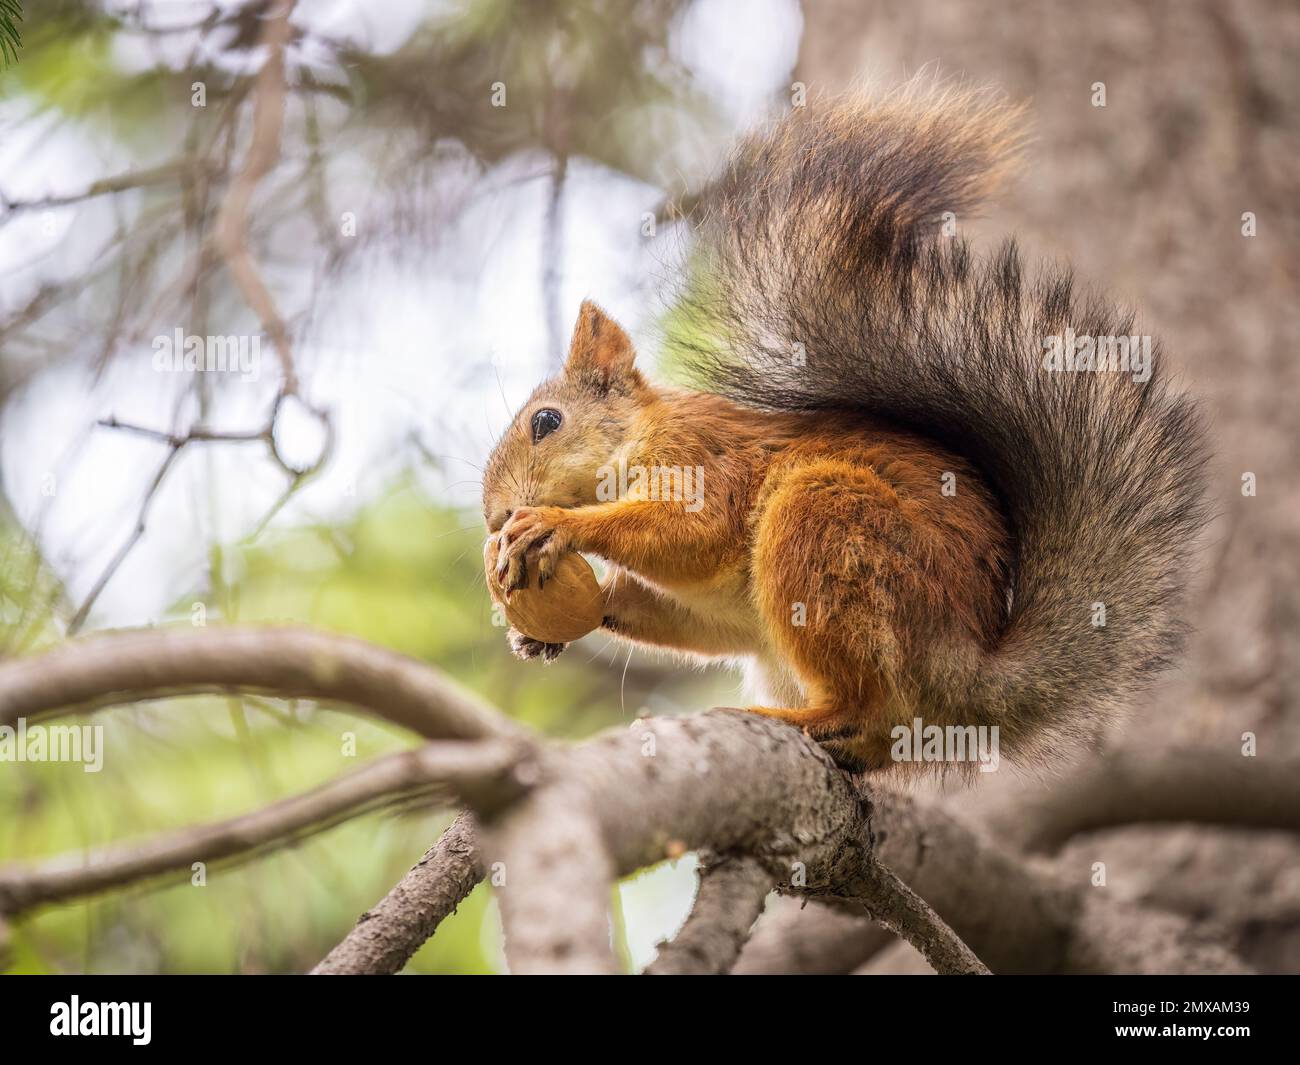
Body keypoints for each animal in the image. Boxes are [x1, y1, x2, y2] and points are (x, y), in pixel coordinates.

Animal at [482, 85, 1209, 772]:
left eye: (545, 422)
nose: (493, 516)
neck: (641, 436)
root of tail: (963, 675)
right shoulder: (719, 608)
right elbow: (692, 616)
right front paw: (540, 629)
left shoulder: (706, 460)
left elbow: (695, 530)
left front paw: (557, 524)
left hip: (829, 528)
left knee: (865, 706)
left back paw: (802, 719)